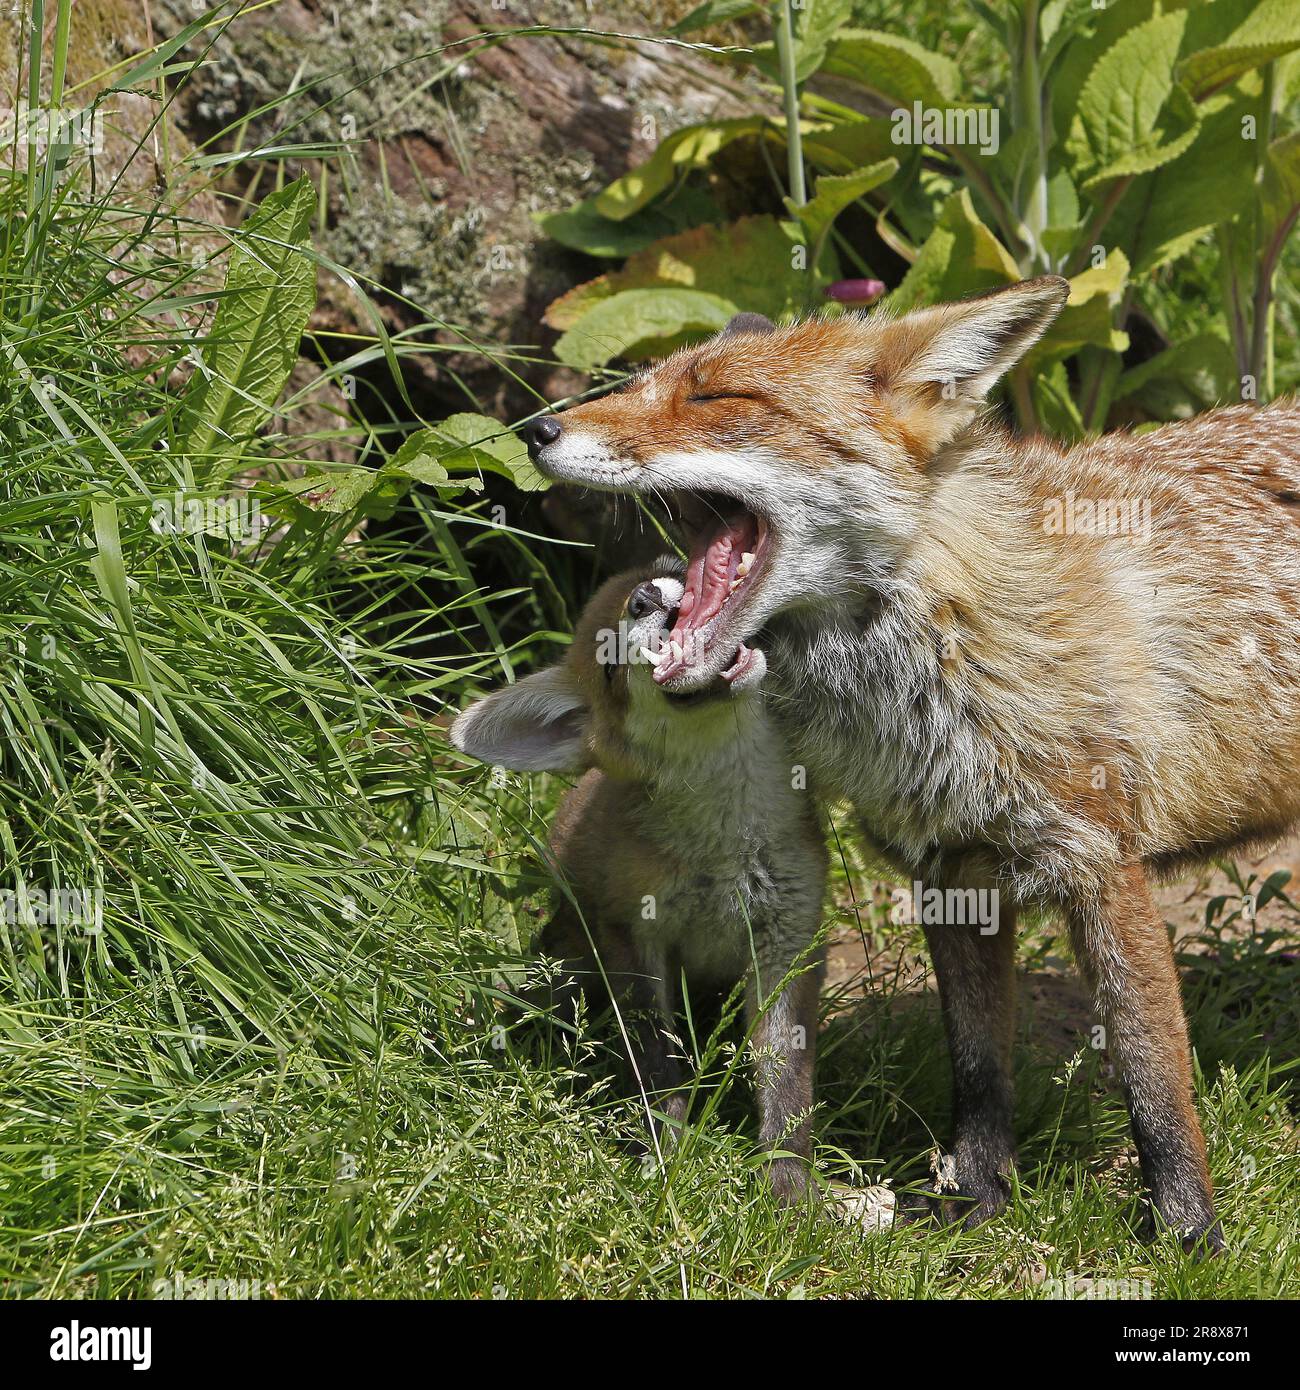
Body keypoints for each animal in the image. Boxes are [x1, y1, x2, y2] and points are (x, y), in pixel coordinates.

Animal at [451, 564, 828, 1202]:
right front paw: (661, 1156)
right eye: (607, 666)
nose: (646, 598)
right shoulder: (632, 931)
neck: (728, 850)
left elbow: (784, 1084)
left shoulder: (788, 942)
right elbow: (656, 1061)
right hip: (569, 962)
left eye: (671, 574)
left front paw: (788, 1187)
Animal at [518, 276, 1300, 1253]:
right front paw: (979, 1201)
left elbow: (1152, 1070)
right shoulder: (950, 868)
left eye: (716, 397)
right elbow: (979, 1070)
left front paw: (1190, 1239)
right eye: (639, 380)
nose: (534, 429)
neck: (950, 652)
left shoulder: (1099, 861)